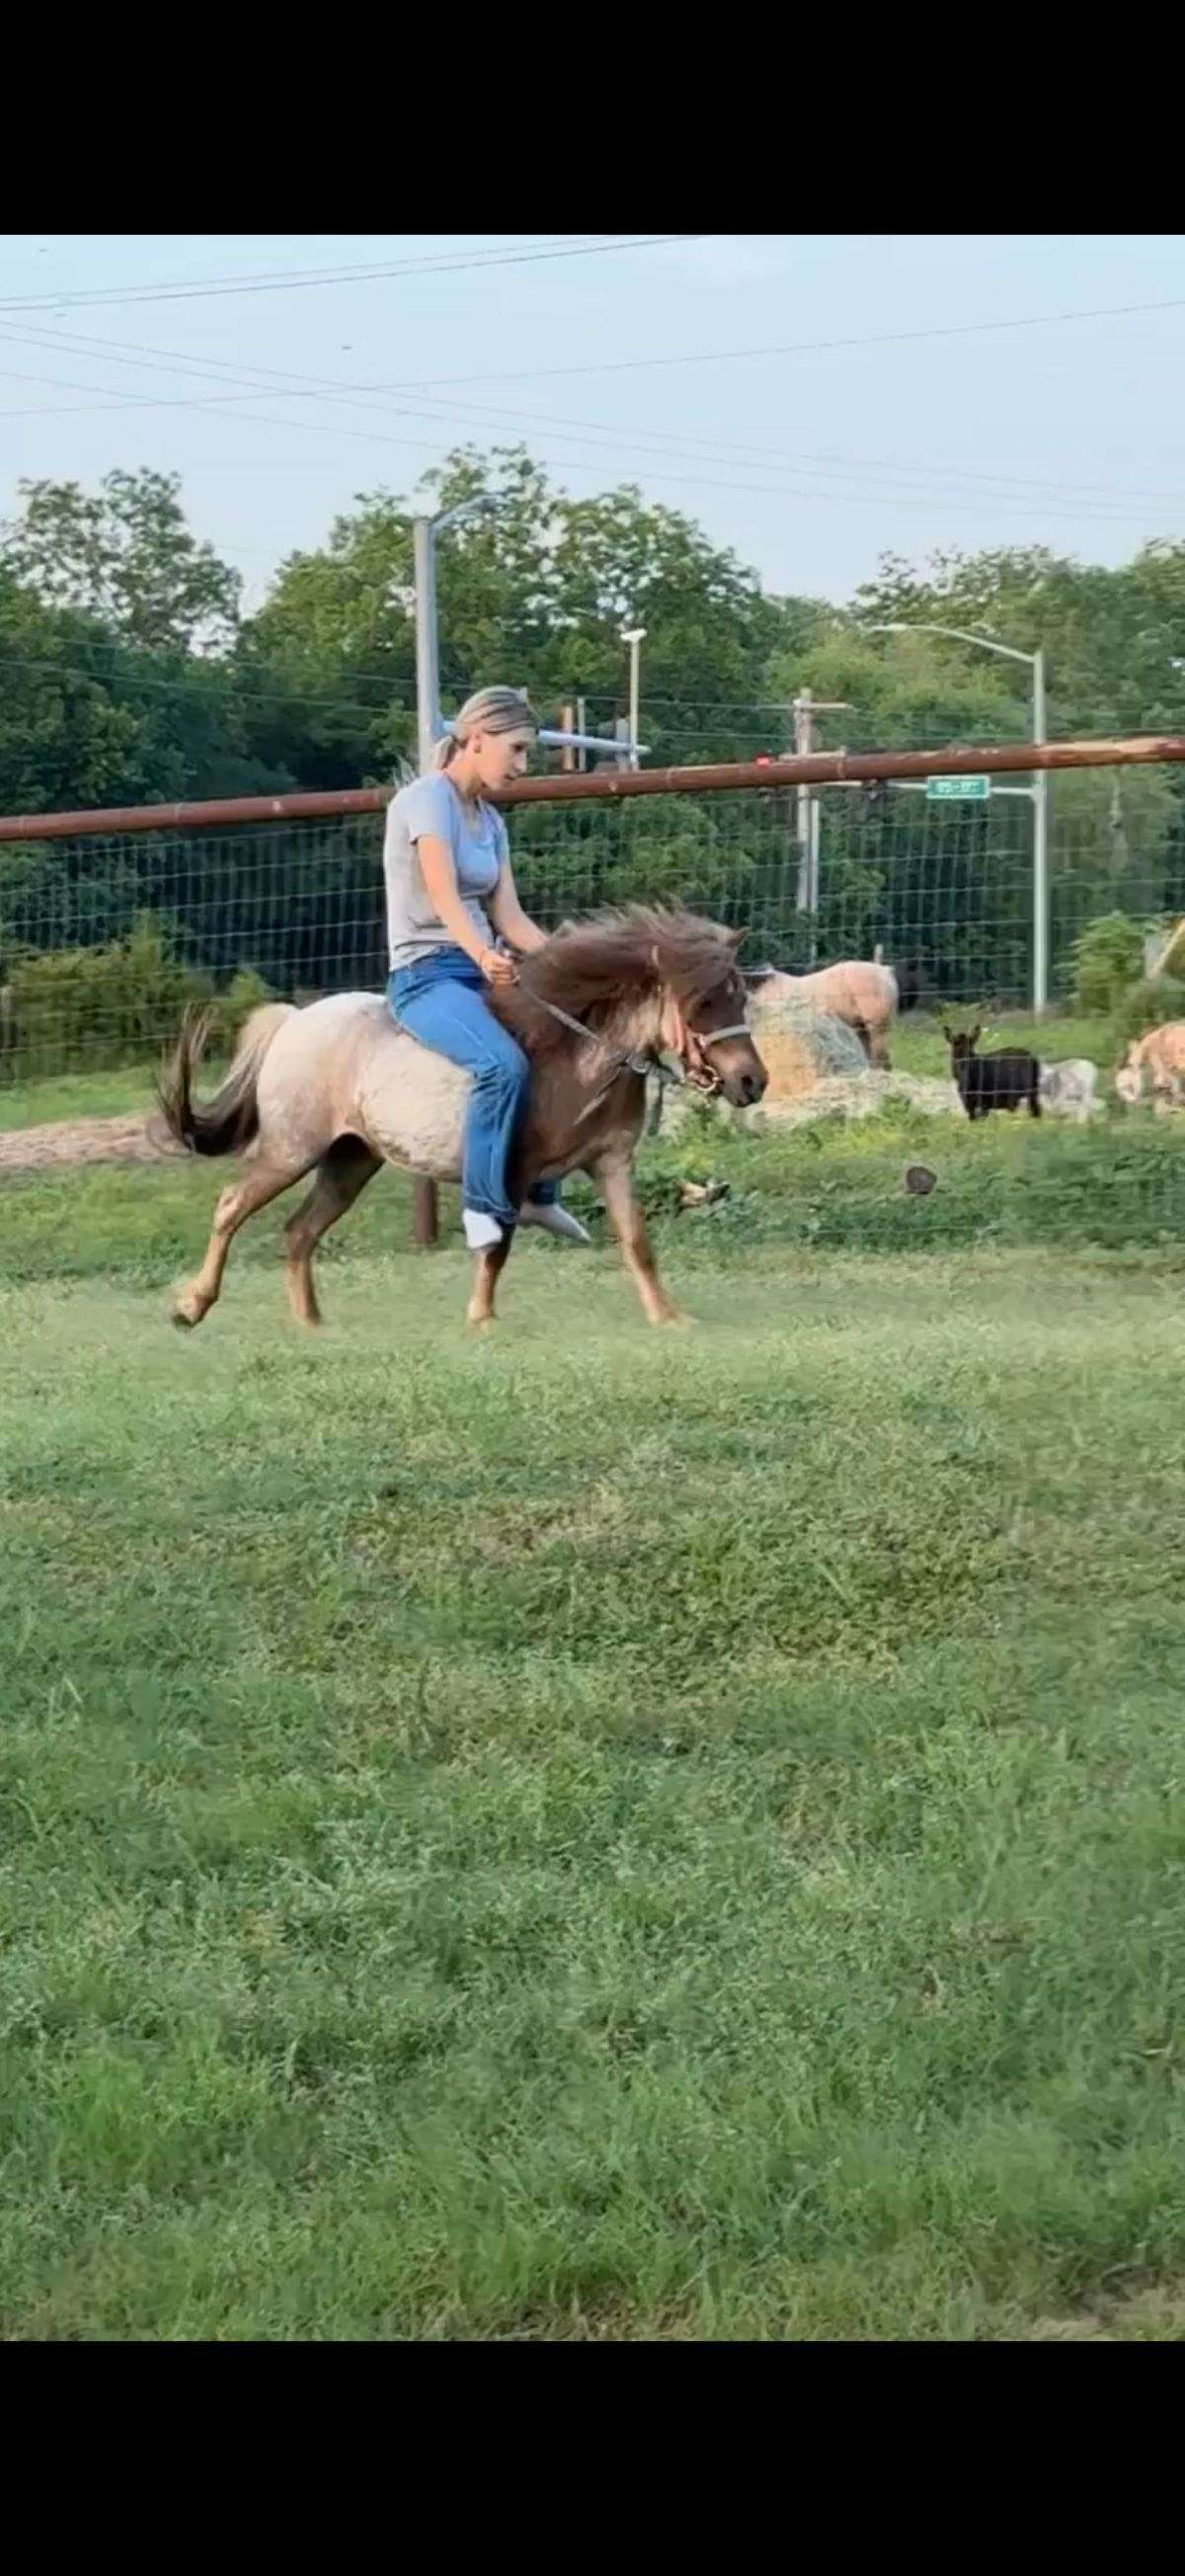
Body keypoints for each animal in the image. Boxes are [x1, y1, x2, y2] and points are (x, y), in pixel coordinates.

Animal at [154, 905, 768, 1335]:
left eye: (738, 998)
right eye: (701, 1003)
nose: (752, 1082)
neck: (576, 1054)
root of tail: (294, 1021)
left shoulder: (611, 1162)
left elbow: (637, 1241)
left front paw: (668, 1317)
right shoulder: (511, 1167)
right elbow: (497, 1242)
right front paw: (482, 1318)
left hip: (350, 1160)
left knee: (300, 1231)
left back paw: (311, 1324)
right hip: (292, 1150)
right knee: (231, 1206)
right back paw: (191, 1306)